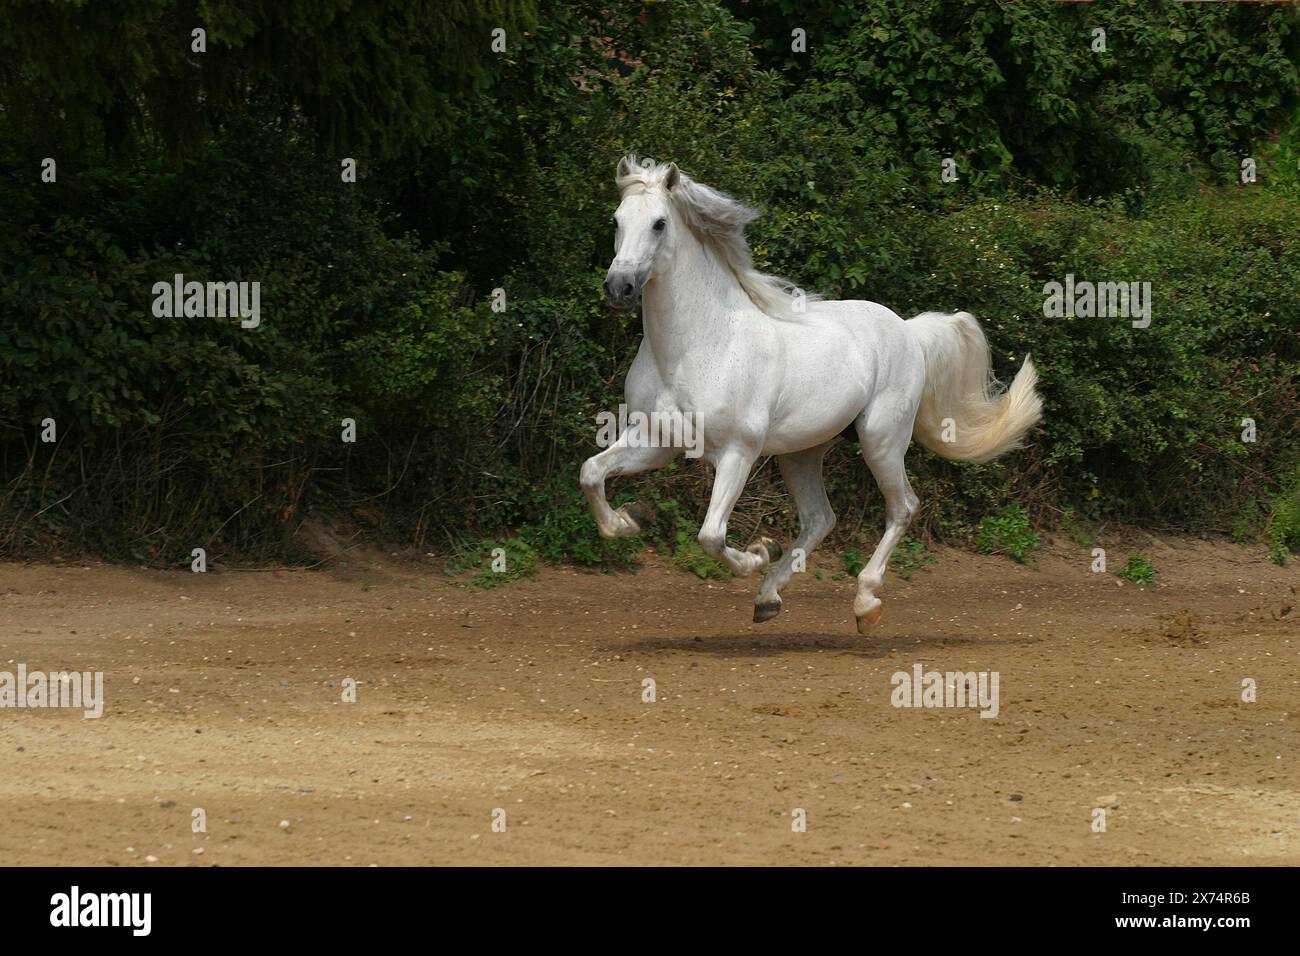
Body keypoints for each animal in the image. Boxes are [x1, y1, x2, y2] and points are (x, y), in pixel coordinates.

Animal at [581, 155, 1043, 634]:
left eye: (659, 223)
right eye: (616, 220)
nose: (619, 288)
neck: (697, 346)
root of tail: (908, 331)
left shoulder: (737, 452)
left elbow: (711, 536)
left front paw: (759, 550)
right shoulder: (657, 442)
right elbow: (591, 472)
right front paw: (630, 520)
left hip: (881, 440)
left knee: (902, 508)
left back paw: (865, 603)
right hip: (802, 452)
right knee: (821, 517)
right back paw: (769, 599)